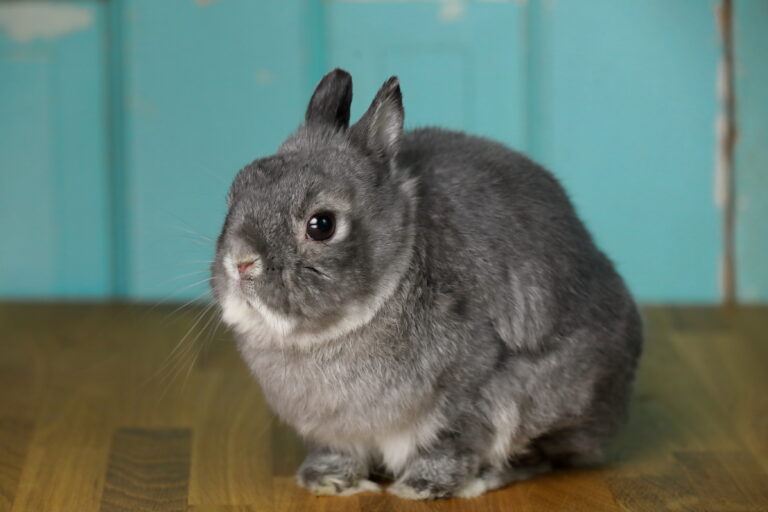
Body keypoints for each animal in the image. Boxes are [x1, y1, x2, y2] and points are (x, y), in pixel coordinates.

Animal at [210, 68, 643, 500]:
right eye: (235, 194)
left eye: (322, 225)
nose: (241, 263)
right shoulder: (333, 430)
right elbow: (339, 451)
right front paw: (329, 481)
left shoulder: (470, 391)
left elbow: (452, 441)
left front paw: (419, 487)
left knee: (543, 453)